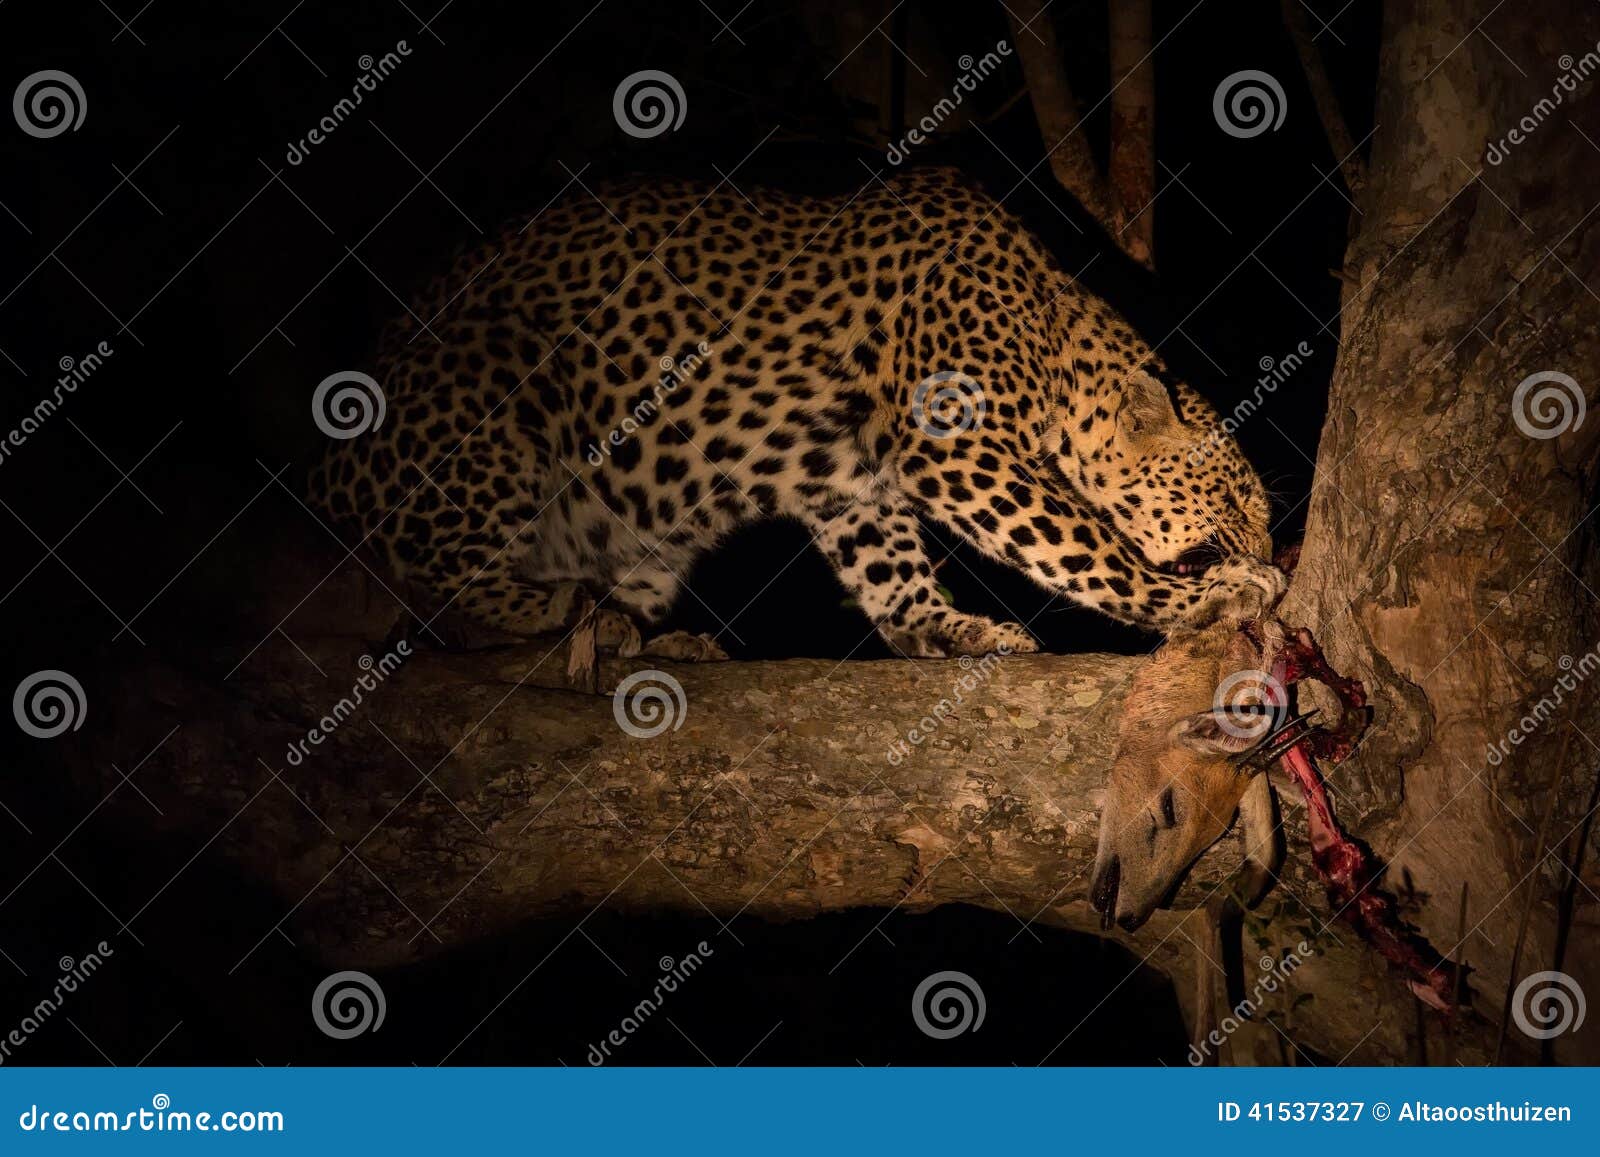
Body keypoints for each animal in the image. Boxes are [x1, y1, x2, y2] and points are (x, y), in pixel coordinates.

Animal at [307, 166, 1285, 665]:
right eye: (1238, 503)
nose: (1278, 553)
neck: (1053, 338)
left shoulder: (851, 481)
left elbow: (891, 570)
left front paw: (947, 627)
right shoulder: (960, 447)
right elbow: (1081, 544)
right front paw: (1207, 594)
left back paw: (646, 638)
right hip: (495, 402)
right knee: (431, 576)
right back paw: (556, 611)